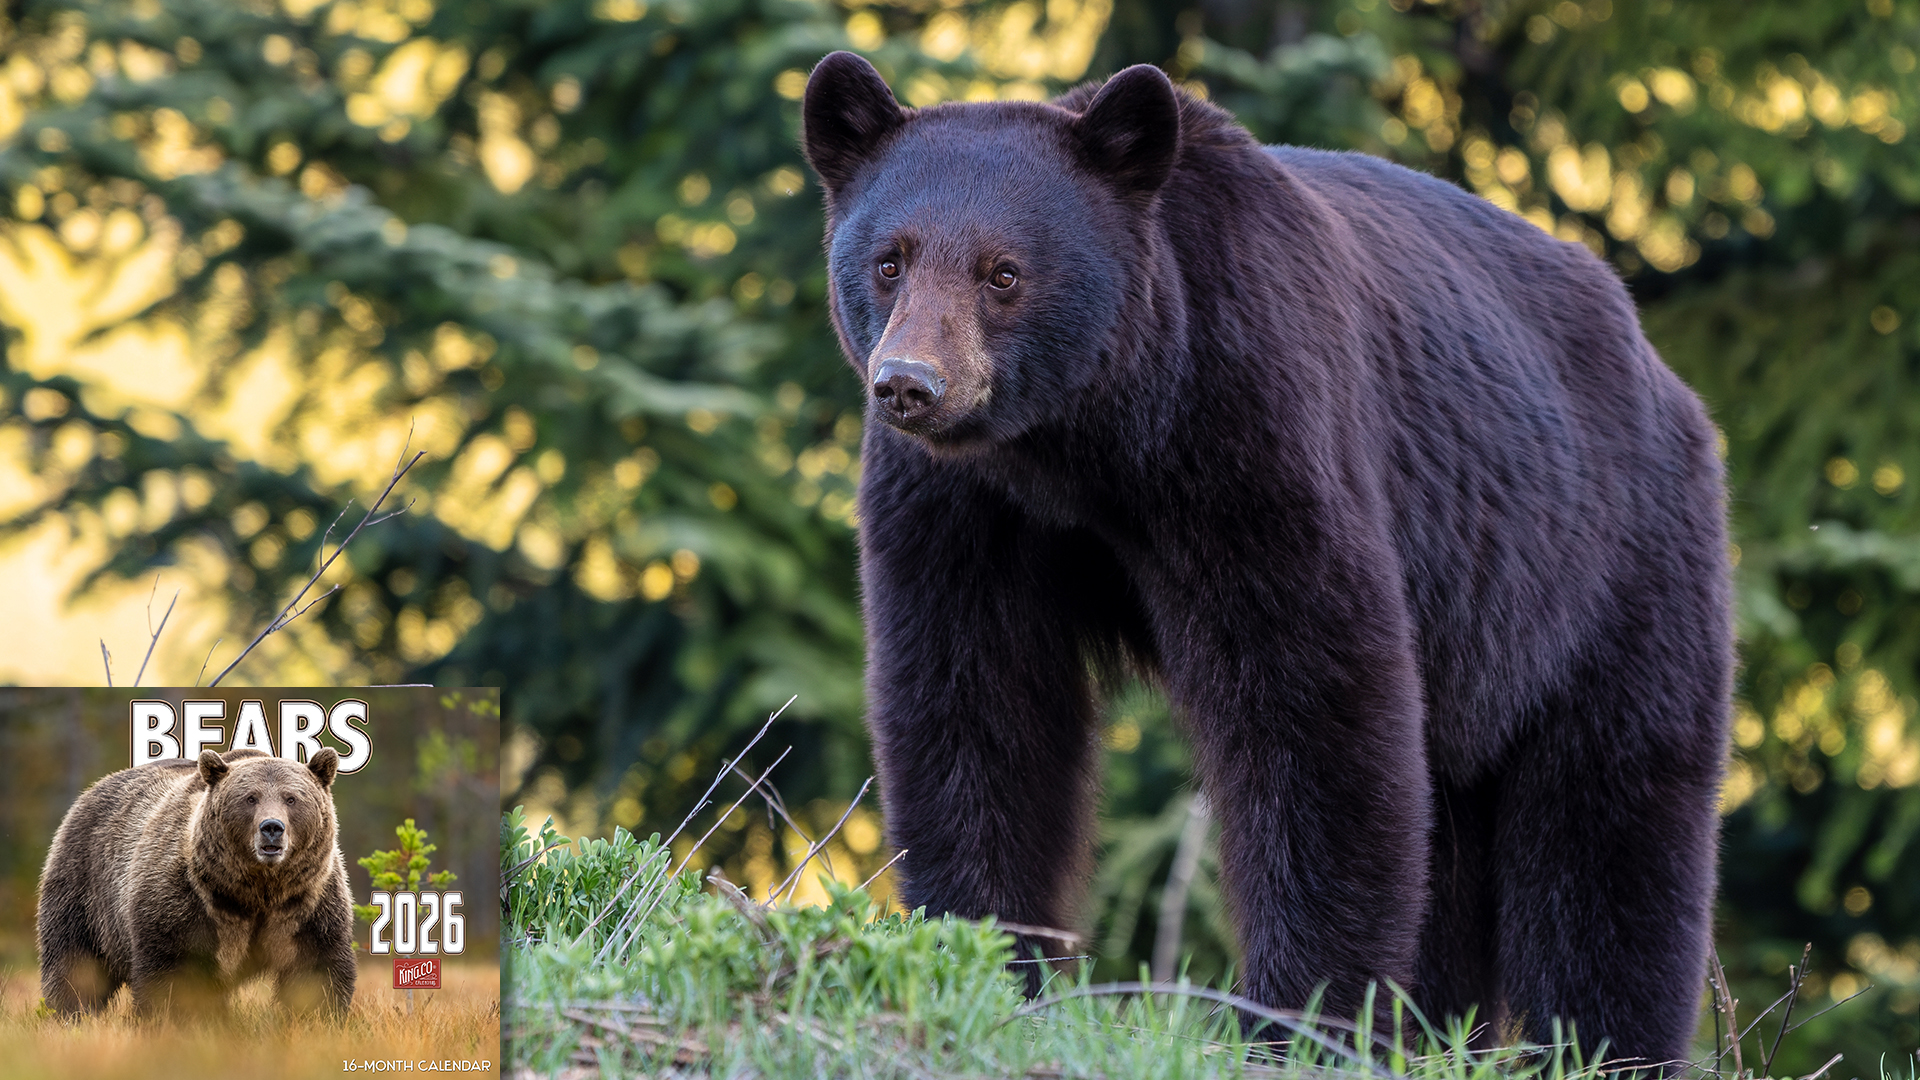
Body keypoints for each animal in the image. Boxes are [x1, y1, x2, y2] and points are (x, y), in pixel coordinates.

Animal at [37, 747, 357, 1019]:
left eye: (291, 798)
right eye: (250, 798)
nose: (272, 828)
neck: (256, 890)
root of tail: (91, 790)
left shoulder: (306, 904)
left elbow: (316, 970)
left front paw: (318, 1017)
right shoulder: (186, 900)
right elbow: (175, 974)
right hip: (85, 887)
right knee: (75, 962)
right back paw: (69, 1013)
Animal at [802, 51, 1731, 1069]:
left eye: (1003, 272)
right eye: (889, 260)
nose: (911, 385)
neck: (1083, 445)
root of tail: (1666, 376)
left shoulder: (1253, 429)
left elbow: (1312, 707)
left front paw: (1301, 1017)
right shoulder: (964, 513)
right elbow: (975, 709)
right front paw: (988, 961)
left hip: (1607, 567)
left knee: (1613, 820)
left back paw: (1604, 1047)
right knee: (1453, 834)